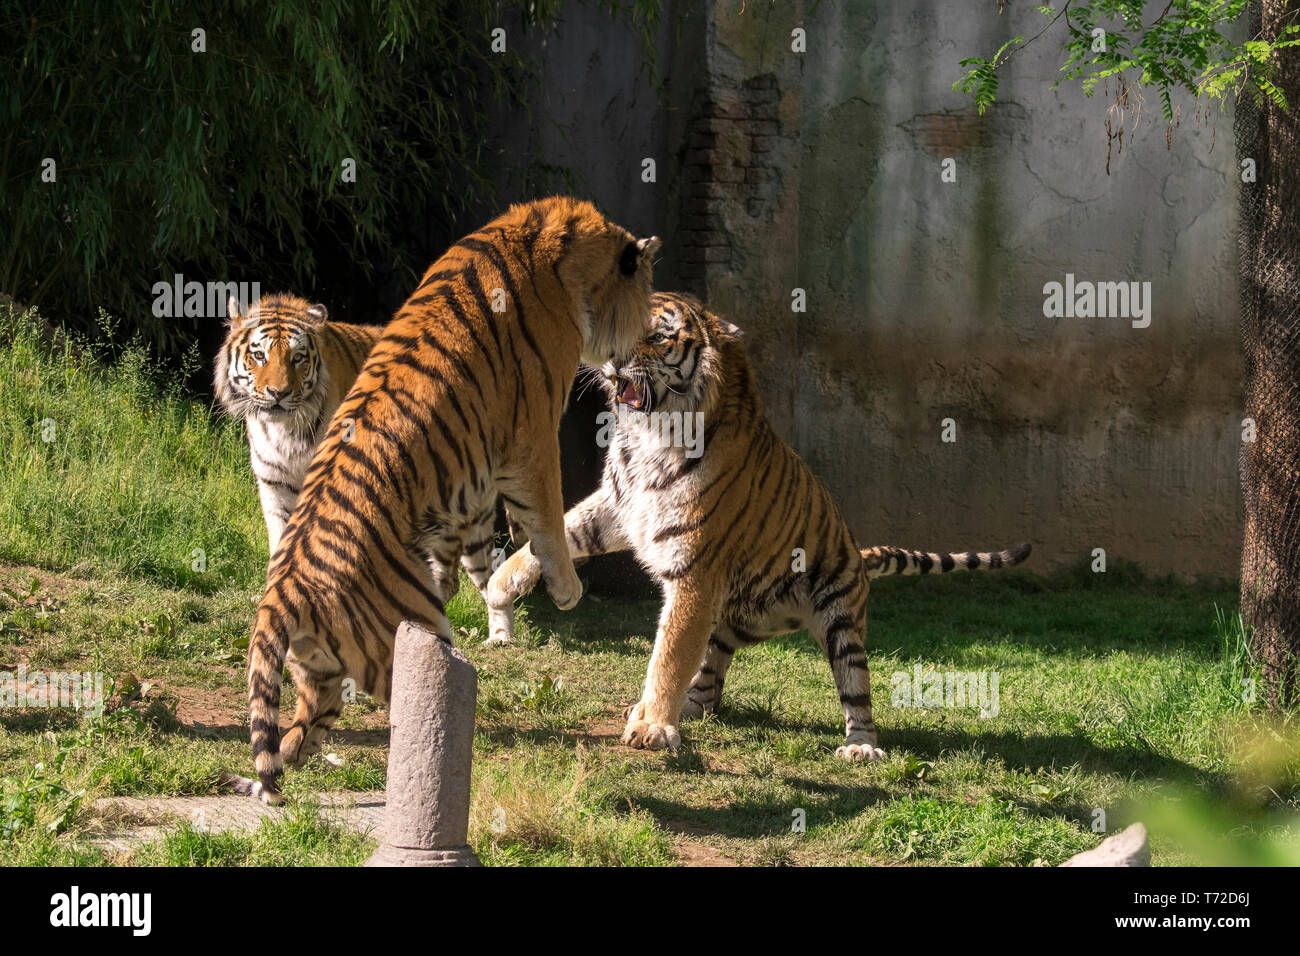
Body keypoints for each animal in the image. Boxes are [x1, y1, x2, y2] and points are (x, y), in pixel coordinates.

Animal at [214, 293, 514, 645]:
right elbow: (281, 552)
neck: (285, 430)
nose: (278, 393)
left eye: (297, 357)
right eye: (258, 355)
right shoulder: (275, 486)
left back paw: (494, 635)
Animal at [487, 291, 1030, 761]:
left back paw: (861, 746)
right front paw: (501, 586)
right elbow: (563, 533)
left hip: (840, 621)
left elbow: (668, 655)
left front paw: (651, 728)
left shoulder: (694, 568)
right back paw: (687, 707)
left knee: (855, 689)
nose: (611, 359)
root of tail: (857, 551)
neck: (648, 436)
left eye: (658, 336)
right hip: (731, 621)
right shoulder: (621, 507)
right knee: (709, 676)